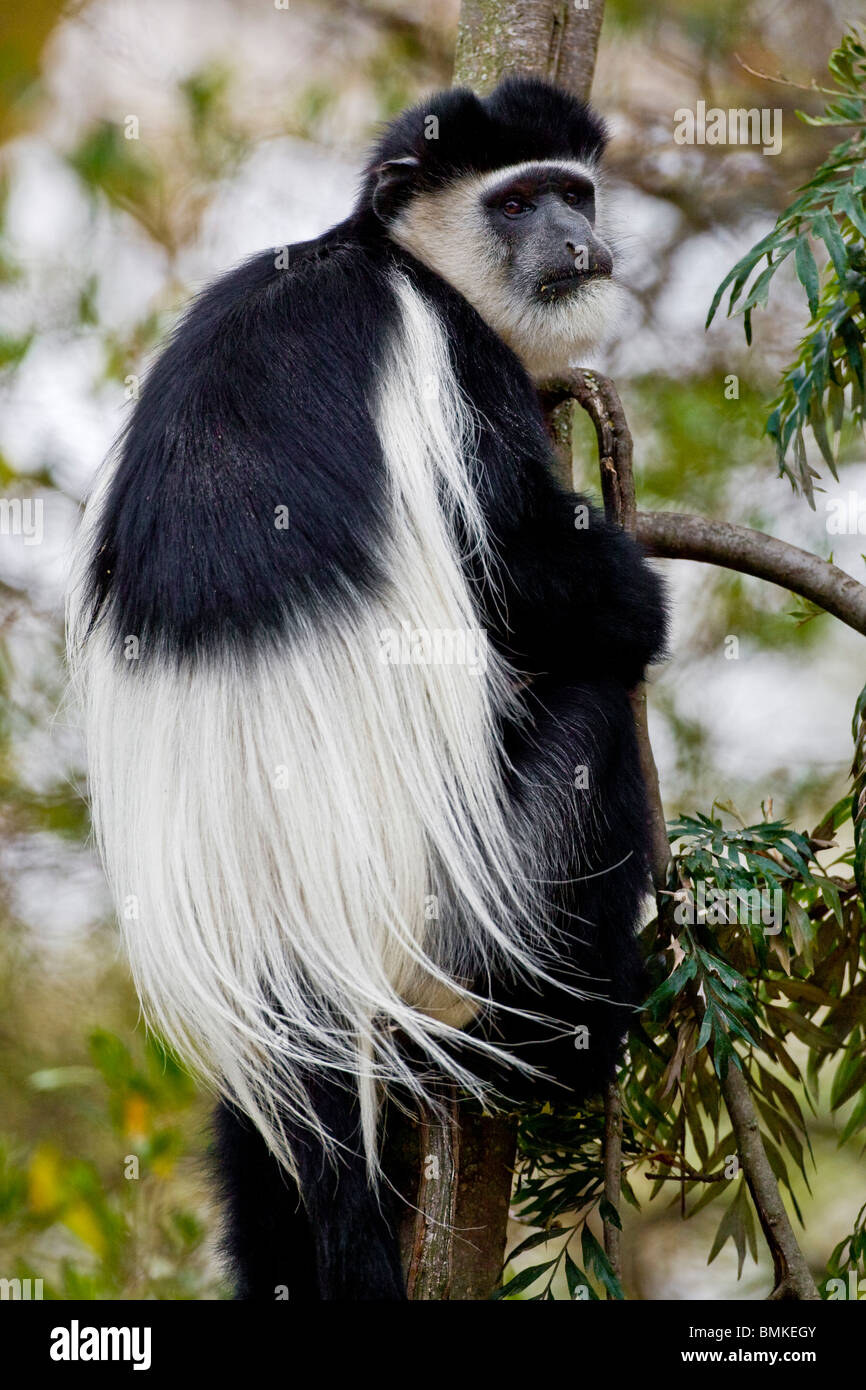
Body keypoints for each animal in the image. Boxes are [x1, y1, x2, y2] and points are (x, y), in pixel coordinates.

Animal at [67, 75, 667, 1300]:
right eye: (517, 201)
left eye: (573, 192)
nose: (577, 244)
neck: (377, 252)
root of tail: (301, 961)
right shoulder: (454, 359)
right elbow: (540, 575)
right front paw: (637, 596)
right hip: (458, 912)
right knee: (588, 717)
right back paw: (573, 1043)